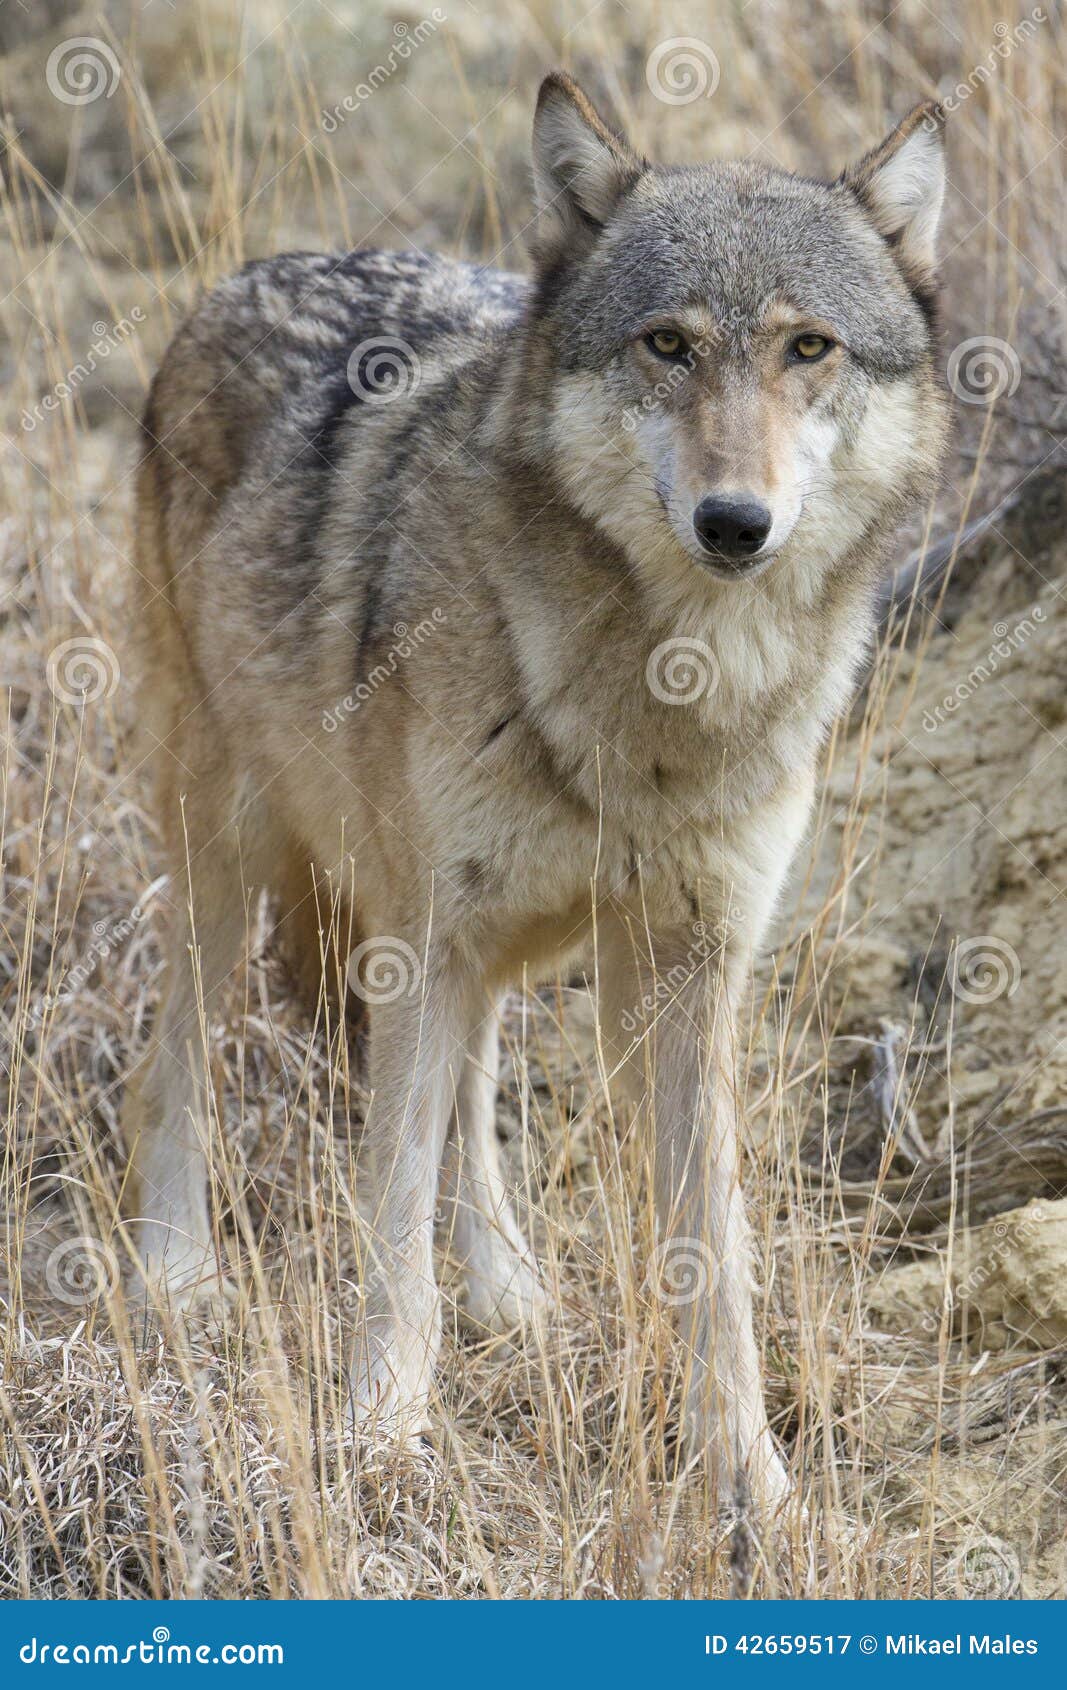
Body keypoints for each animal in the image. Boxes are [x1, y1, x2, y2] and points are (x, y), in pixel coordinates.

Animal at [121, 72, 949, 1510]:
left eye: (809, 349)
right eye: (666, 344)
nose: (734, 523)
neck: (660, 697)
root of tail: (252, 271)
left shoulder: (689, 968)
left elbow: (714, 1255)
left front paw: (750, 1481)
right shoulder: (423, 936)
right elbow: (389, 1216)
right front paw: (381, 1431)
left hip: (470, 925)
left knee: (474, 1076)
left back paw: (505, 1286)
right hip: (232, 840)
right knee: (185, 1043)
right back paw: (174, 1266)